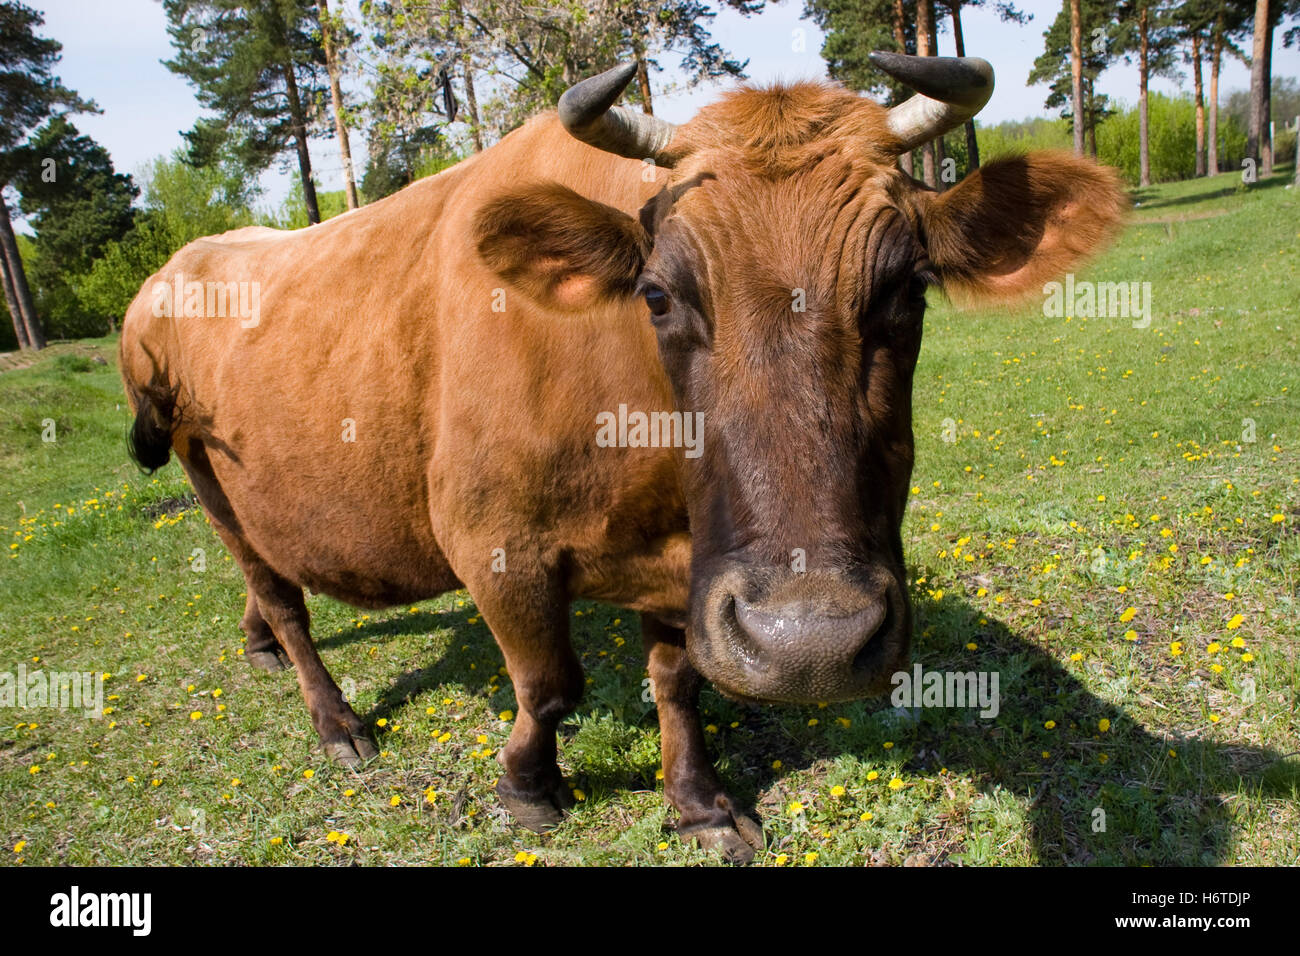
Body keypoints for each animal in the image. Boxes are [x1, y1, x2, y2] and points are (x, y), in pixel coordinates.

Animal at [119, 53, 1126, 863]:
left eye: (909, 289)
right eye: (658, 293)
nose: (810, 644)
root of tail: (170, 274)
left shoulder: (691, 571)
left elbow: (678, 682)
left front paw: (698, 804)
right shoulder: (492, 544)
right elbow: (549, 685)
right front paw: (529, 789)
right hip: (213, 483)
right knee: (283, 597)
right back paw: (335, 720)